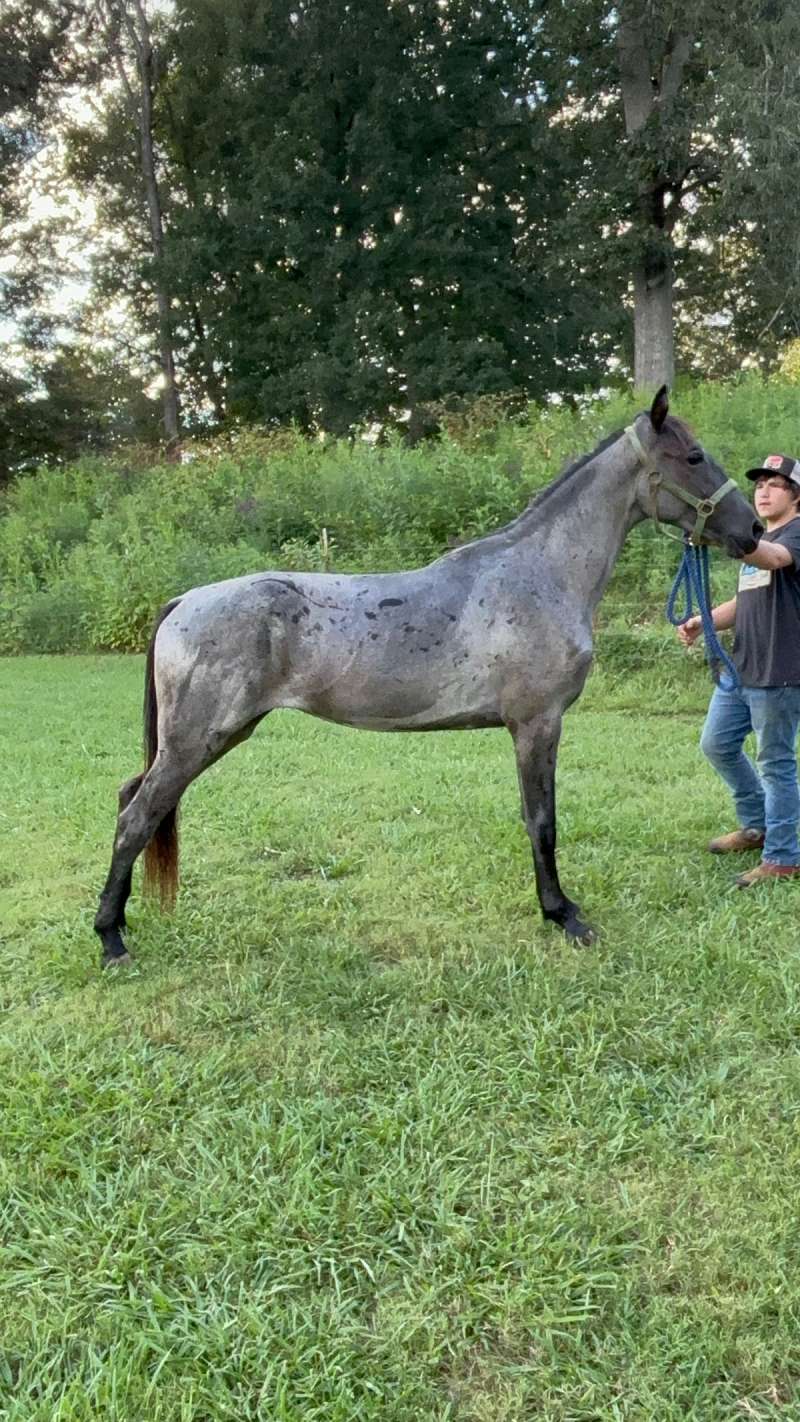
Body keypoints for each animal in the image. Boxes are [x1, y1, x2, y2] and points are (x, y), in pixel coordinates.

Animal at [94, 387, 762, 966]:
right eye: (694, 457)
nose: (752, 530)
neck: (541, 573)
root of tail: (183, 602)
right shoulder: (536, 724)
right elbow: (542, 821)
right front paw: (563, 915)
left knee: (135, 800)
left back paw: (119, 923)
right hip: (198, 739)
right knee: (137, 815)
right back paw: (110, 940)